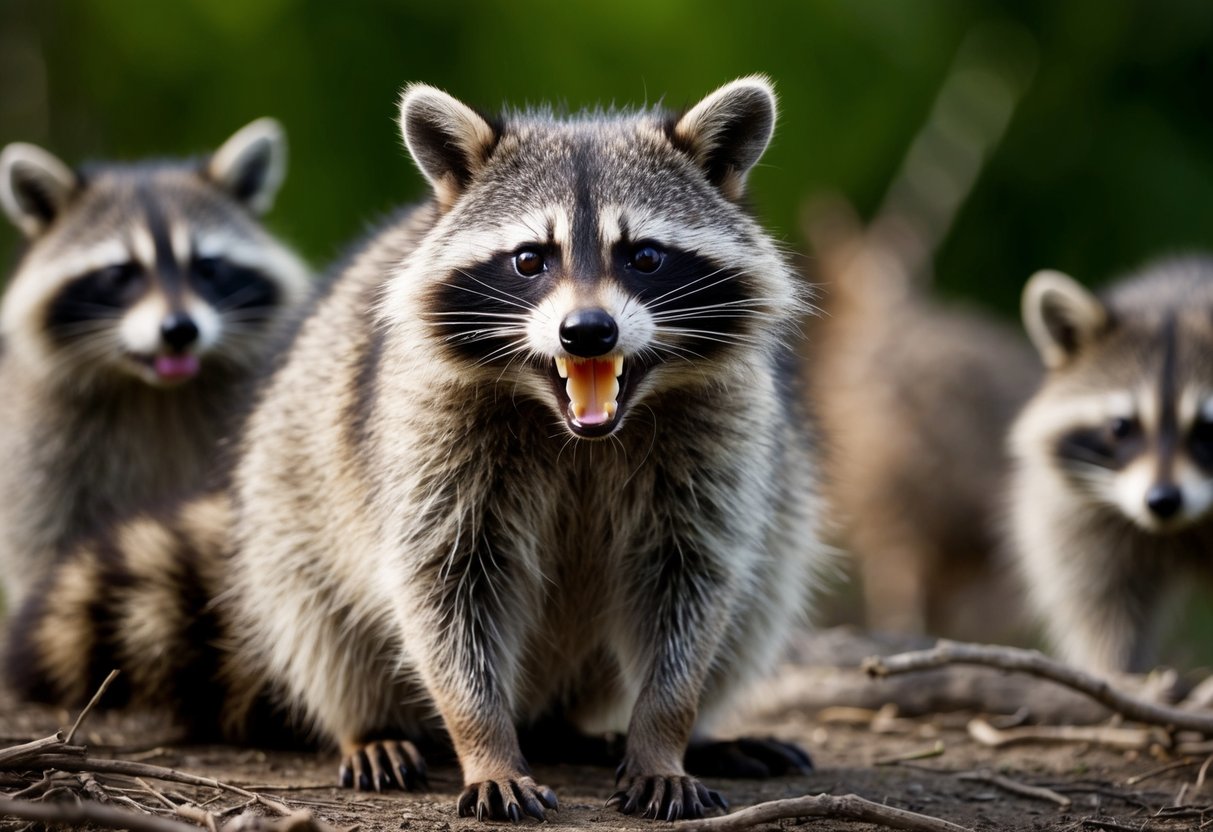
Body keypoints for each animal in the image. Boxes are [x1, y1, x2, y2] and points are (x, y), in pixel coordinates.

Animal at [0, 120, 311, 609]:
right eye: (120, 272)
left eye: (207, 267)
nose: (180, 330)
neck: (153, 390)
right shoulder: (43, 458)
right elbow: (47, 550)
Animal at [1010, 258, 1213, 674]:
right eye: (1122, 426)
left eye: (1207, 428)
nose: (1164, 501)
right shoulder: (1075, 515)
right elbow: (1098, 602)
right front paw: (1116, 668)